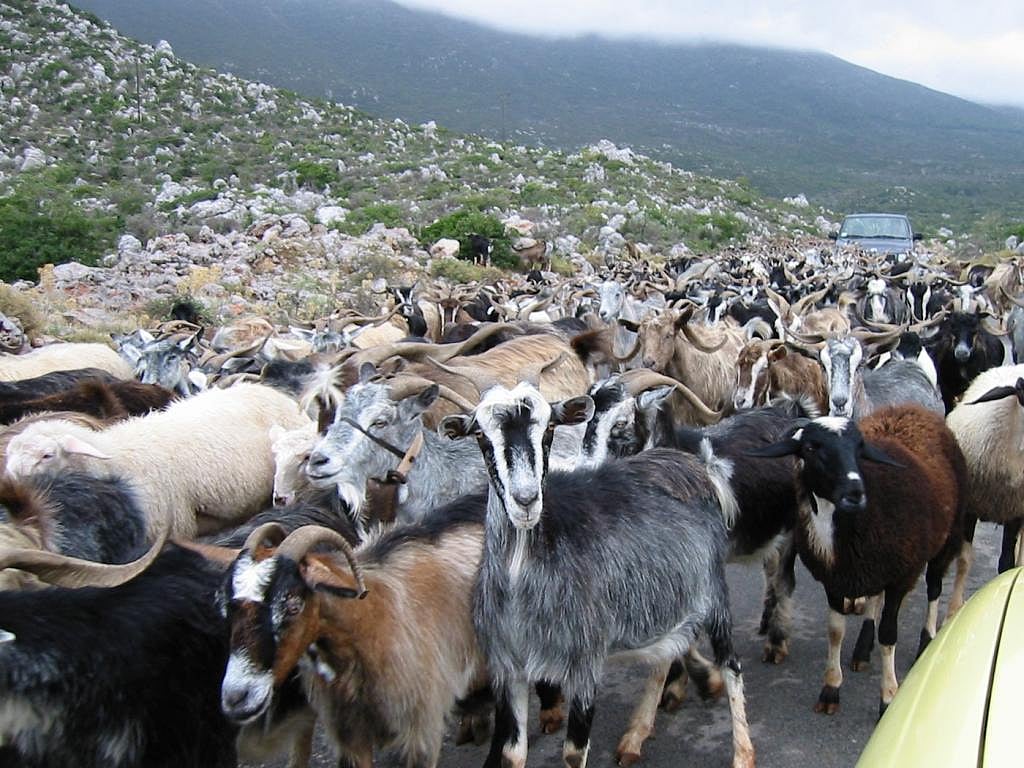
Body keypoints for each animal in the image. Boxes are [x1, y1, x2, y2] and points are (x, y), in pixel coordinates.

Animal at [441, 383, 755, 768]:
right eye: (481, 436)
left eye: (549, 429)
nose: (525, 500)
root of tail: (692, 464)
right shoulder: (508, 670)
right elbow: (513, 754)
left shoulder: (584, 665)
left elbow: (574, 752)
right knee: (667, 653)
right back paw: (635, 735)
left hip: (714, 593)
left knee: (732, 665)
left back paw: (743, 754)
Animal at [749, 406, 966, 717]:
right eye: (811, 448)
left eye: (859, 448)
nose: (855, 493)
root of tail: (913, 409)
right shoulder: (835, 578)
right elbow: (835, 631)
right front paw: (830, 689)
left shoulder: (900, 577)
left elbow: (889, 635)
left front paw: (888, 697)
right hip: (873, 567)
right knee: (874, 598)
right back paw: (863, 649)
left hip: (947, 538)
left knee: (934, 589)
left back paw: (927, 640)